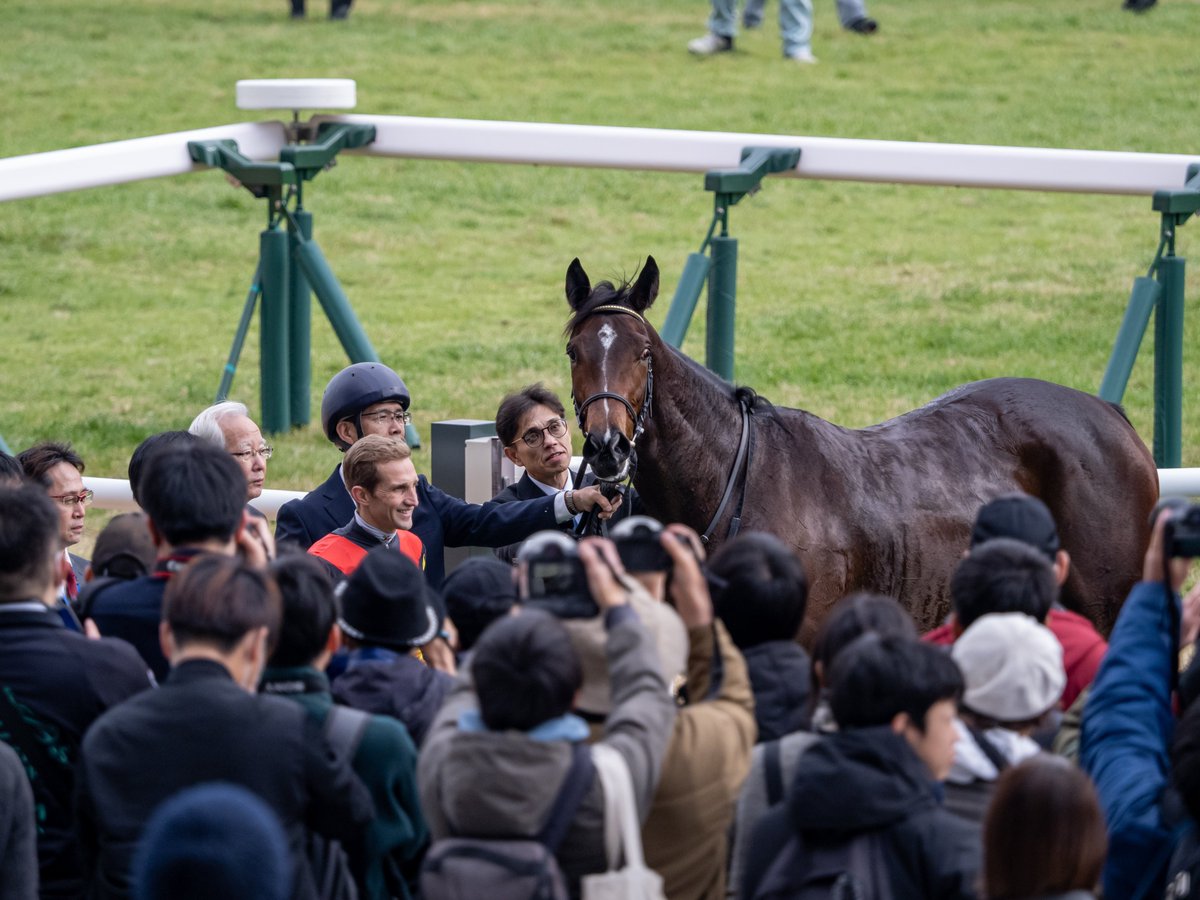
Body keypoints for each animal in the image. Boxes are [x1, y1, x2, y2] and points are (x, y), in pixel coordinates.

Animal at [564, 256, 1159, 639]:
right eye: (574, 350)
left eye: (643, 352)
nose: (608, 447)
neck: (732, 487)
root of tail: (1110, 413)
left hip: (1106, 602)